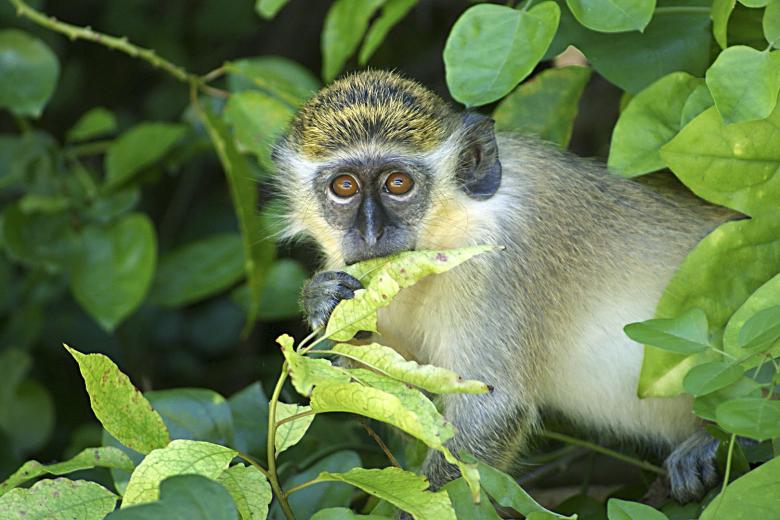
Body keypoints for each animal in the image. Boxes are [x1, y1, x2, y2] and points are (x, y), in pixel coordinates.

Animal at [271, 70, 730, 505]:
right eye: (344, 187)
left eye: (398, 184)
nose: (370, 232)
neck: (454, 223)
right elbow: (401, 397)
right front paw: (320, 299)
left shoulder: (494, 260)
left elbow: (489, 408)